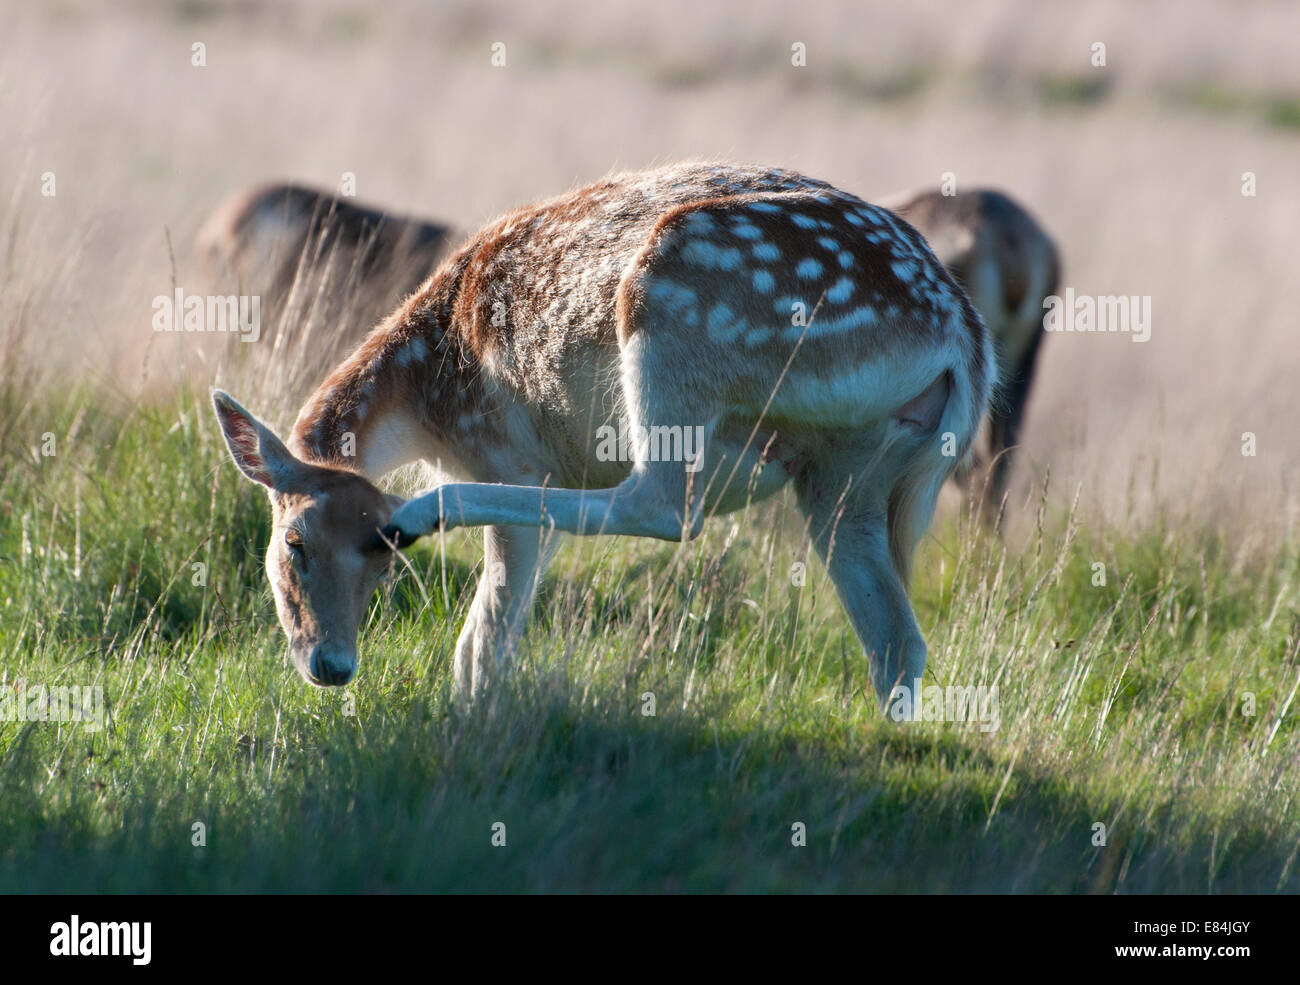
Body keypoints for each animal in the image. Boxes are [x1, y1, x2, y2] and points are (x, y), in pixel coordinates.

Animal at [212, 163, 993, 709]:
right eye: (295, 545)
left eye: (378, 557)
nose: (331, 666)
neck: (427, 401)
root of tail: (963, 339)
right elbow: (490, 627)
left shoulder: (507, 455)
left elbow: (487, 632)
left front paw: (466, 716)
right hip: (853, 466)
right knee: (896, 638)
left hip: (672, 321)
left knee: (663, 504)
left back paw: (427, 510)